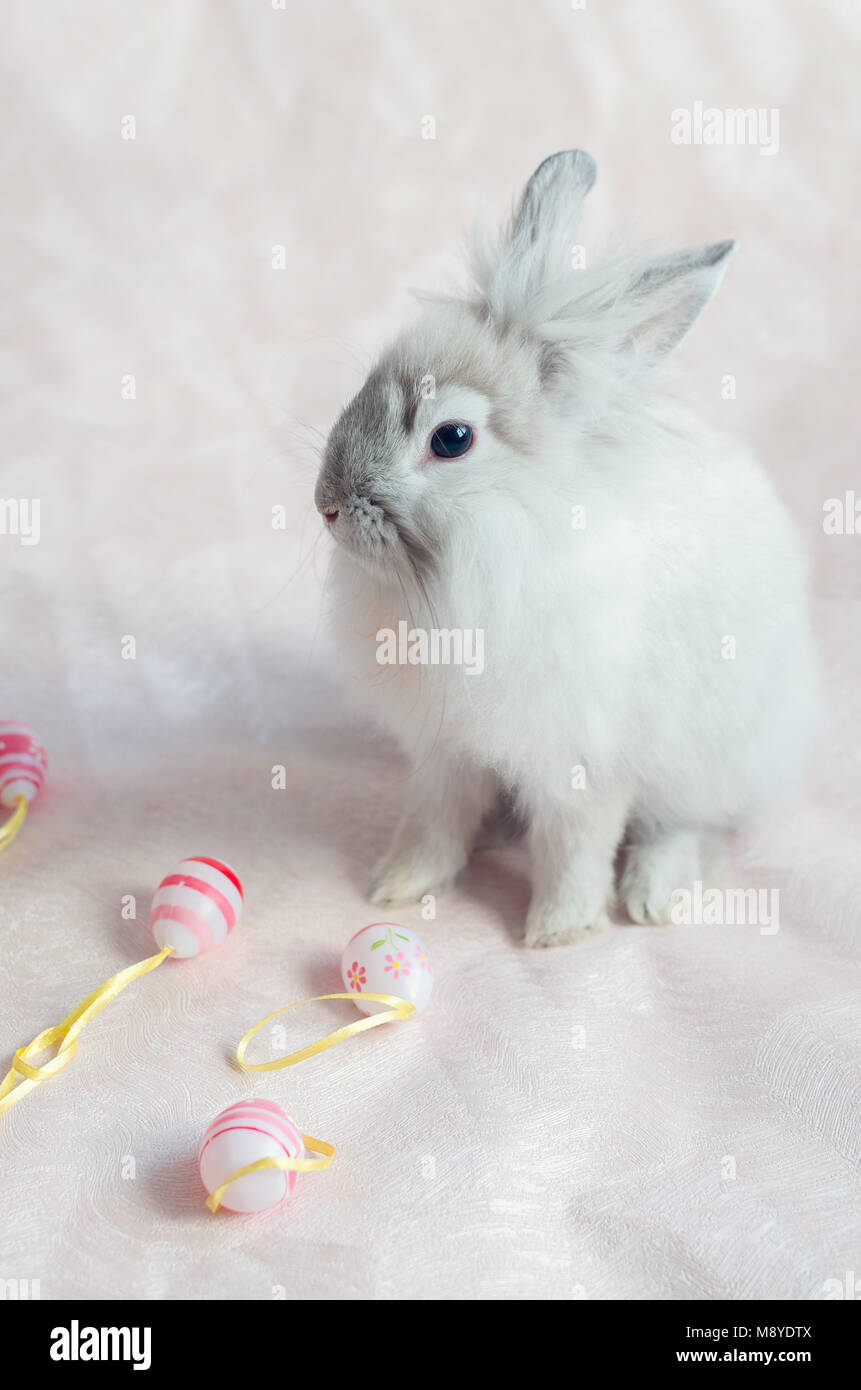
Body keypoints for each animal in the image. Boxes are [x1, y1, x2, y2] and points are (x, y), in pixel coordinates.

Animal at [314, 150, 819, 947]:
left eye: (451, 439)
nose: (326, 504)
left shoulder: (583, 760)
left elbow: (574, 844)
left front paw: (558, 931)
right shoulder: (447, 752)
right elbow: (434, 820)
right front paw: (397, 886)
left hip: (709, 762)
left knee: (694, 827)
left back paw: (654, 894)